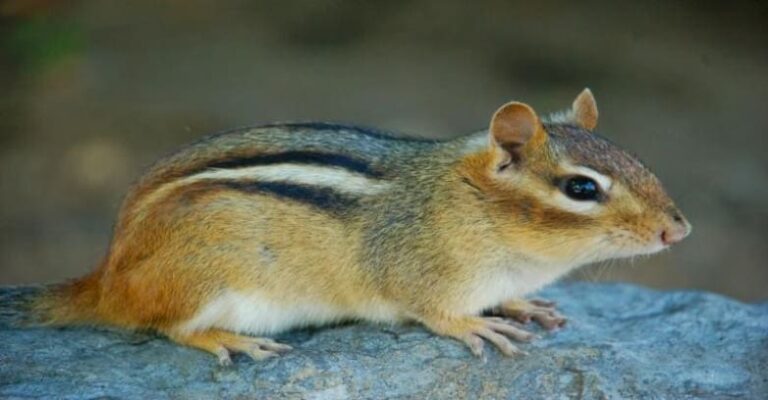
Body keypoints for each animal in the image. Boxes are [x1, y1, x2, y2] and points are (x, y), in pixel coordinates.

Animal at [30, 89, 691, 365]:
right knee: (165, 325)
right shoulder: (420, 272)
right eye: (582, 189)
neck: (469, 202)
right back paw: (225, 340)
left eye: (634, 158)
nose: (678, 232)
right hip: (203, 278)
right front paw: (476, 325)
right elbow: (433, 311)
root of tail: (107, 280)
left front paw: (522, 304)